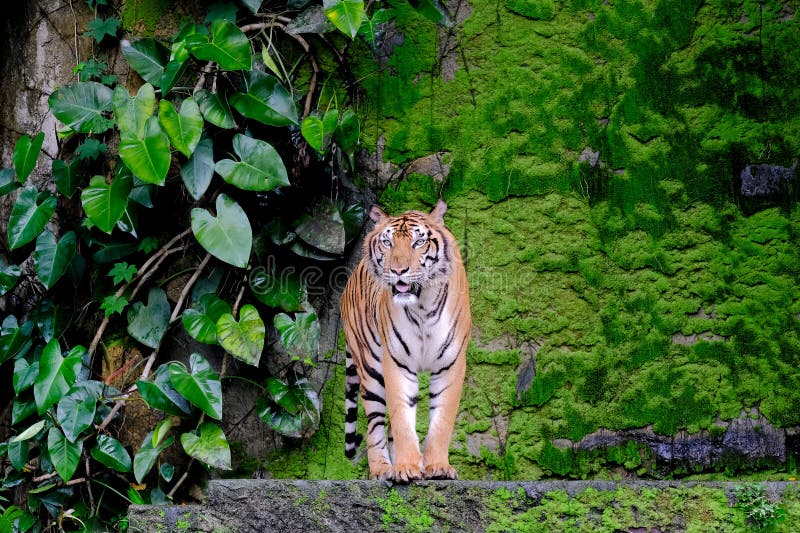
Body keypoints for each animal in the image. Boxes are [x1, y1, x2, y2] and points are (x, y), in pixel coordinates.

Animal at [340, 199, 471, 482]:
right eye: (387, 243)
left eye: (418, 242)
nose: (398, 271)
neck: (422, 305)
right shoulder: (396, 363)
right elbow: (402, 419)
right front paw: (407, 467)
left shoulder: (451, 364)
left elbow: (441, 421)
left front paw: (438, 467)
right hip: (370, 368)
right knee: (374, 426)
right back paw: (382, 469)